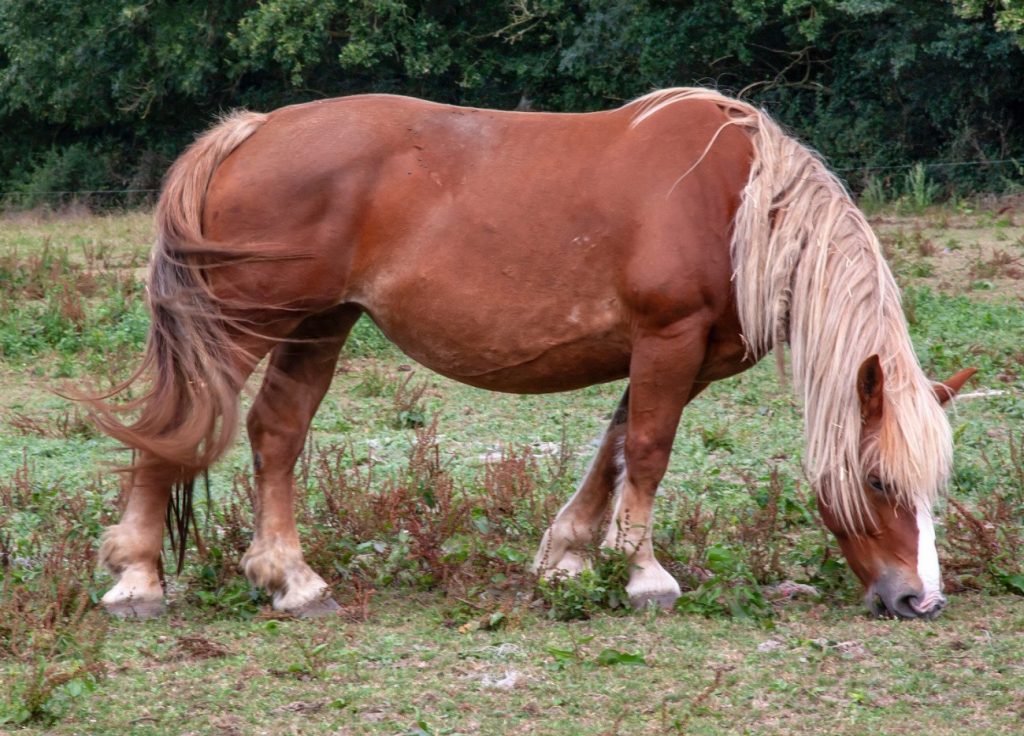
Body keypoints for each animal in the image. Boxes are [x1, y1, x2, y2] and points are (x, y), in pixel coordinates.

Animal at [85, 88, 975, 620]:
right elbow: (648, 450)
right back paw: (137, 579)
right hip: (243, 322)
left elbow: (614, 451)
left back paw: (292, 581)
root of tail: (251, 132)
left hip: (318, 324)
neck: (738, 202)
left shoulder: (677, 356)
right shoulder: (669, 339)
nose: (919, 601)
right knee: (175, 428)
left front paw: (568, 558)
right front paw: (644, 574)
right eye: (876, 480)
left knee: (276, 434)